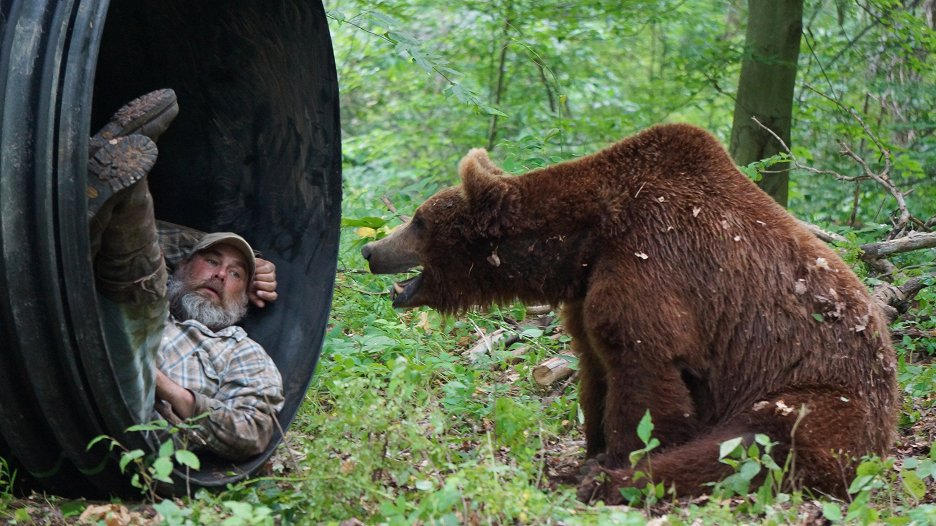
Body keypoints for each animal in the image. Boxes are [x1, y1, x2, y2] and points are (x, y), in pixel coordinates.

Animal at [360, 123, 897, 502]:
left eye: (419, 221)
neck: (585, 239)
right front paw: (588, 452)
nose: (370, 250)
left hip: (821, 396)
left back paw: (614, 484)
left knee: (755, 444)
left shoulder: (653, 264)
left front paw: (611, 462)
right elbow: (595, 369)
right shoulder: (588, 291)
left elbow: (643, 377)